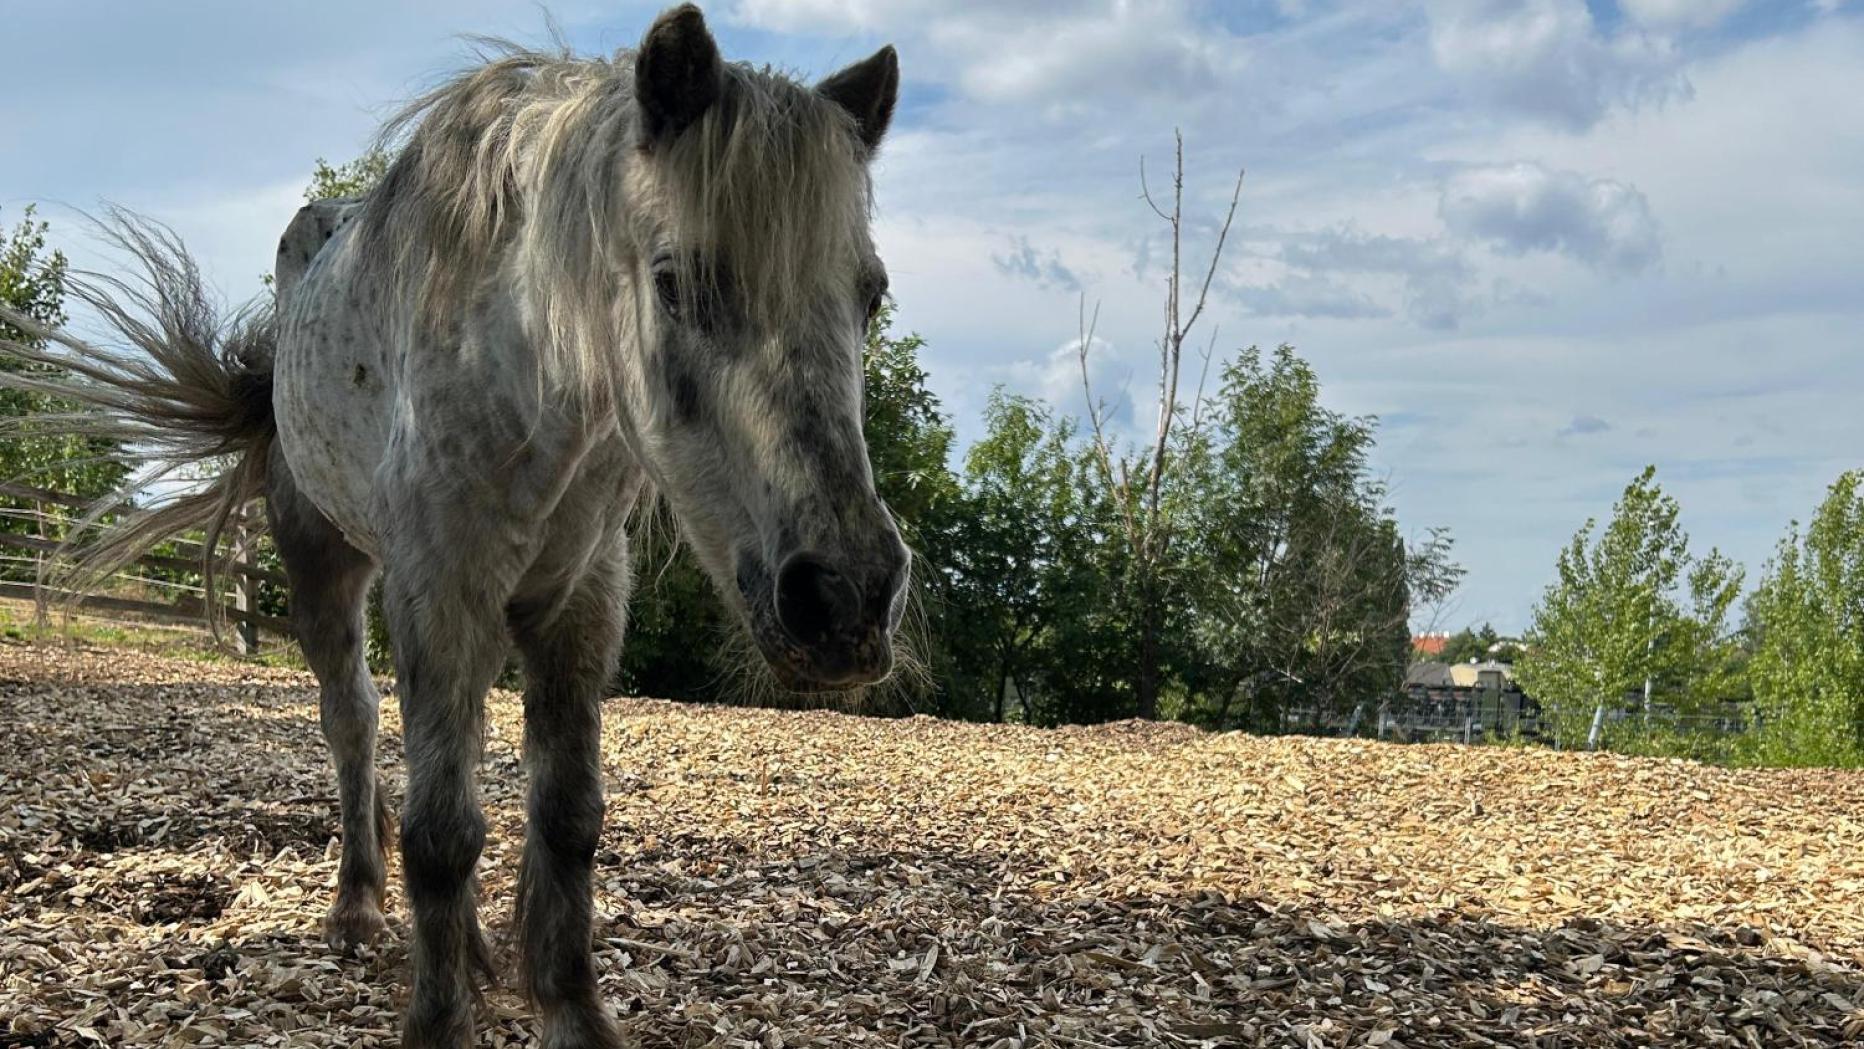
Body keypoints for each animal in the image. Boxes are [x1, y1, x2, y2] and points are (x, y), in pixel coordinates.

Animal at [0, 6, 908, 1046]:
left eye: (870, 293)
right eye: (676, 281)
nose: (847, 598)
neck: (522, 373)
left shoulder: (578, 602)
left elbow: (566, 817)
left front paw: (565, 1007)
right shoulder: (439, 588)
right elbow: (438, 832)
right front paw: (439, 1017)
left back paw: (470, 945)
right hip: (327, 571)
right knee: (355, 726)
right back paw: (358, 906)